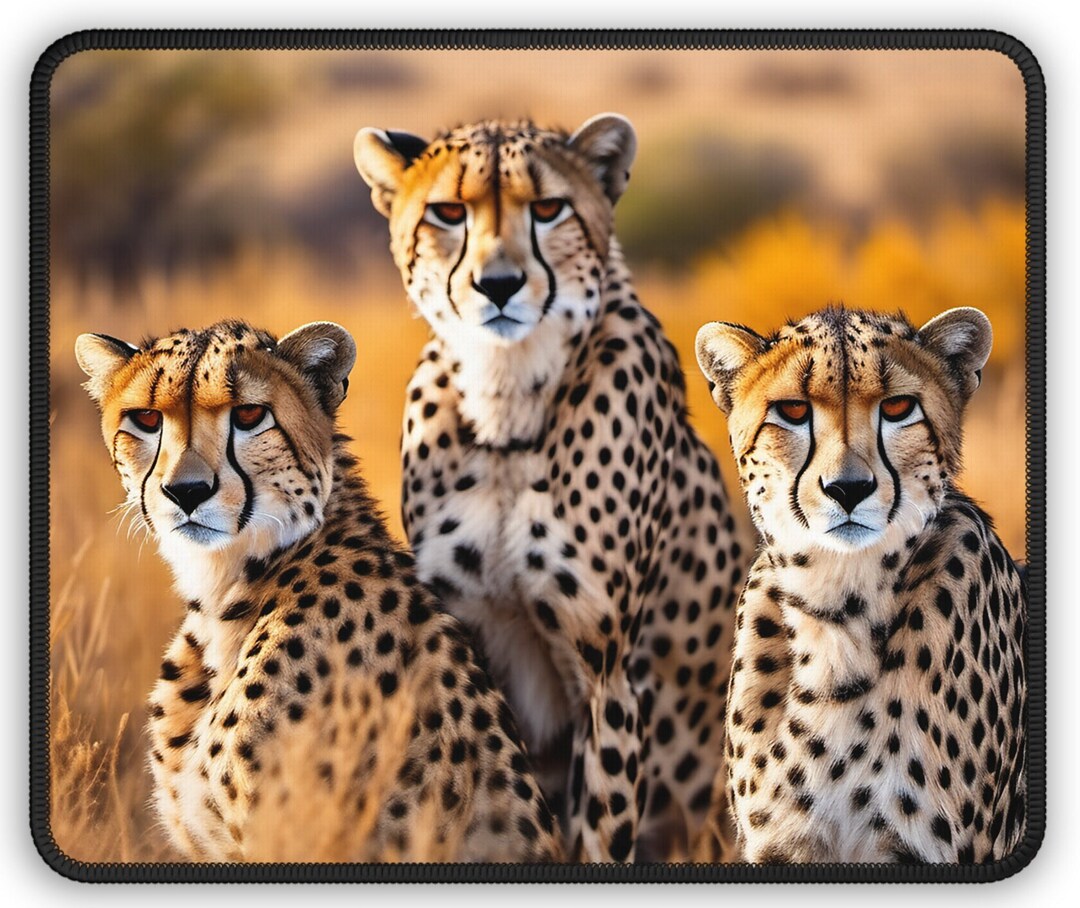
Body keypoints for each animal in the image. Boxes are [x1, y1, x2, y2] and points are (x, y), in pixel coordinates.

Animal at [354, 113, 751, 862]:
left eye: (548, 209)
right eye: (447, 213)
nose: (500, 285)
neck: (508, 398)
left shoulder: (608, 680)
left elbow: (598, 833)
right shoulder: (469, 649)